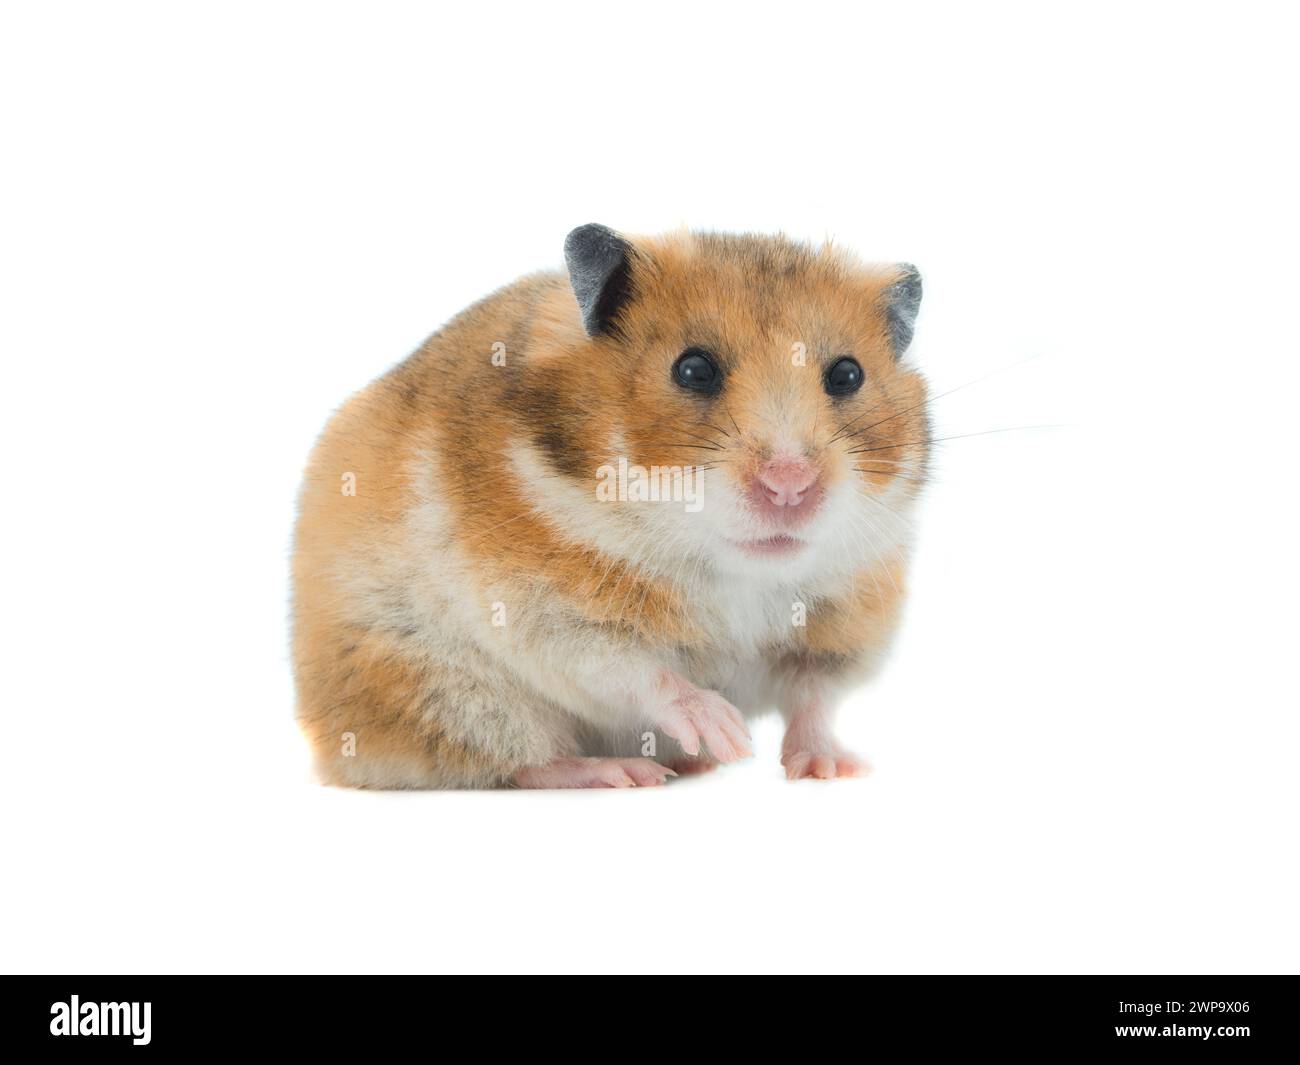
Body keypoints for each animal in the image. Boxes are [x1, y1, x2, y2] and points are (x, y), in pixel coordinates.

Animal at [291, 224, 927, 788]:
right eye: (692, 369)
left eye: (847, 374)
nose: (790, 487)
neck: (735, 571)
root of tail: (330, 755)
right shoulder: (543, 609)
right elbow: (636, 670)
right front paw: (727, 733)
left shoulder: (841, 624)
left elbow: (814, 696)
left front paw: (832, 767)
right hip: (441, 688)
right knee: (524, 761)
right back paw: (624, 770)